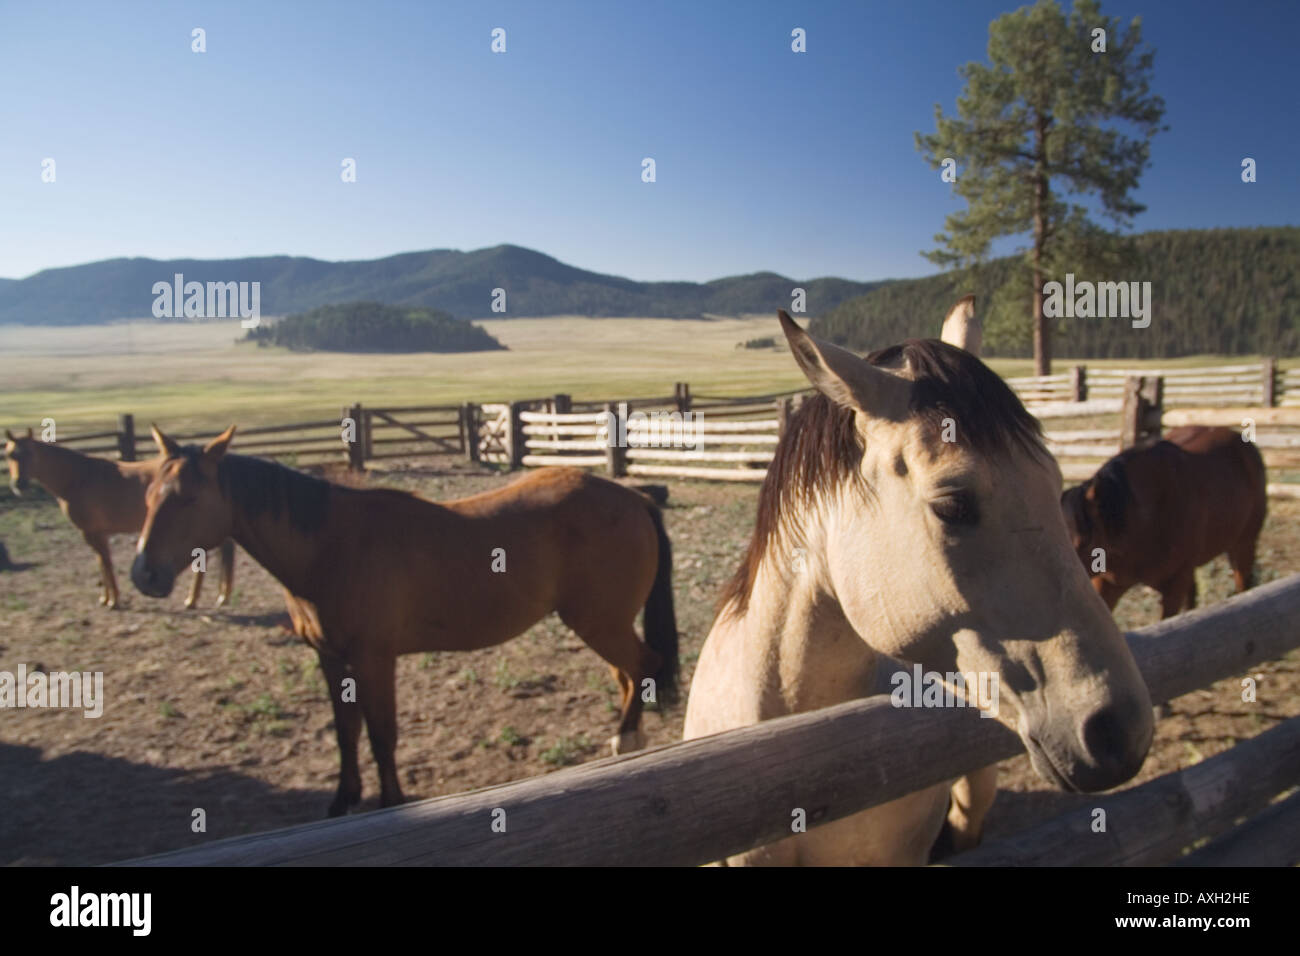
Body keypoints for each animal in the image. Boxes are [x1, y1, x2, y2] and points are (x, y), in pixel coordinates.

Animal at [4, 427, 234, 609]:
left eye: (29, 453)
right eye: (9, 455)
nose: (18, 485)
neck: (78, 477)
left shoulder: (93, 533)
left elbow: (106, 565)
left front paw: (113, 600)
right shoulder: (96, 534)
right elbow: (101, 564)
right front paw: (105, 598)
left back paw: (193, 600)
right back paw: (218, 596)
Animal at [130, 426, 679, 816]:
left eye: (188, 498)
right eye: (149, 496)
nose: (143, 573)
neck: (330, 546)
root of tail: (634, 498)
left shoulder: (375, 660)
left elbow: (381, 734)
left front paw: (390, 803)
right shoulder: (331, 659)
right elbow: (345, 732)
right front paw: (342, 801)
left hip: (600, 622)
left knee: (644, 665)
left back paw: (626, 738)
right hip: (602, 624)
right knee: (628, 675)